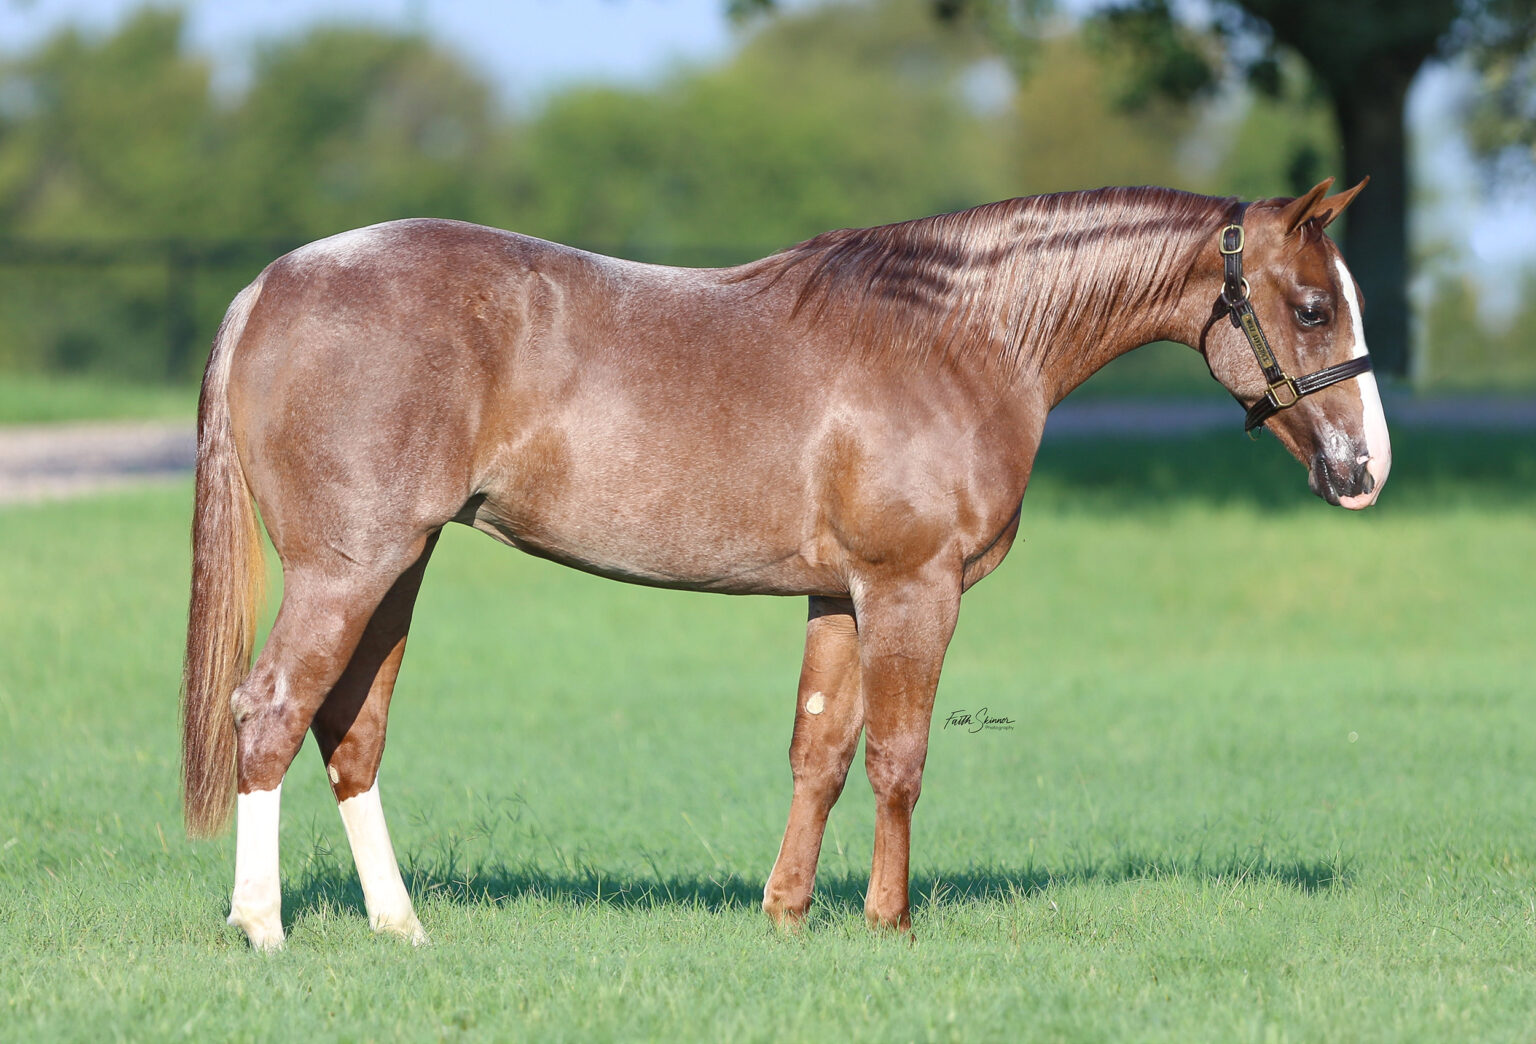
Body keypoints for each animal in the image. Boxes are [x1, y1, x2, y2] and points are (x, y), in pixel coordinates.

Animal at [181, 178, 1390, 950]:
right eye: (1312, 307)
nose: (1366, 468)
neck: (962, 336)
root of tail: (269, 286)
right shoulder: (911, 589)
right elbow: (899, 756)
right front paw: (889, 922)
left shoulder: (837, 597)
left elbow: (820, 753)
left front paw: (787, 914)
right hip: (350, 569)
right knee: (271, 709)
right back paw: (263, 928)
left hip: (398, 569)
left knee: (350, 731)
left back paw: (402, 927)